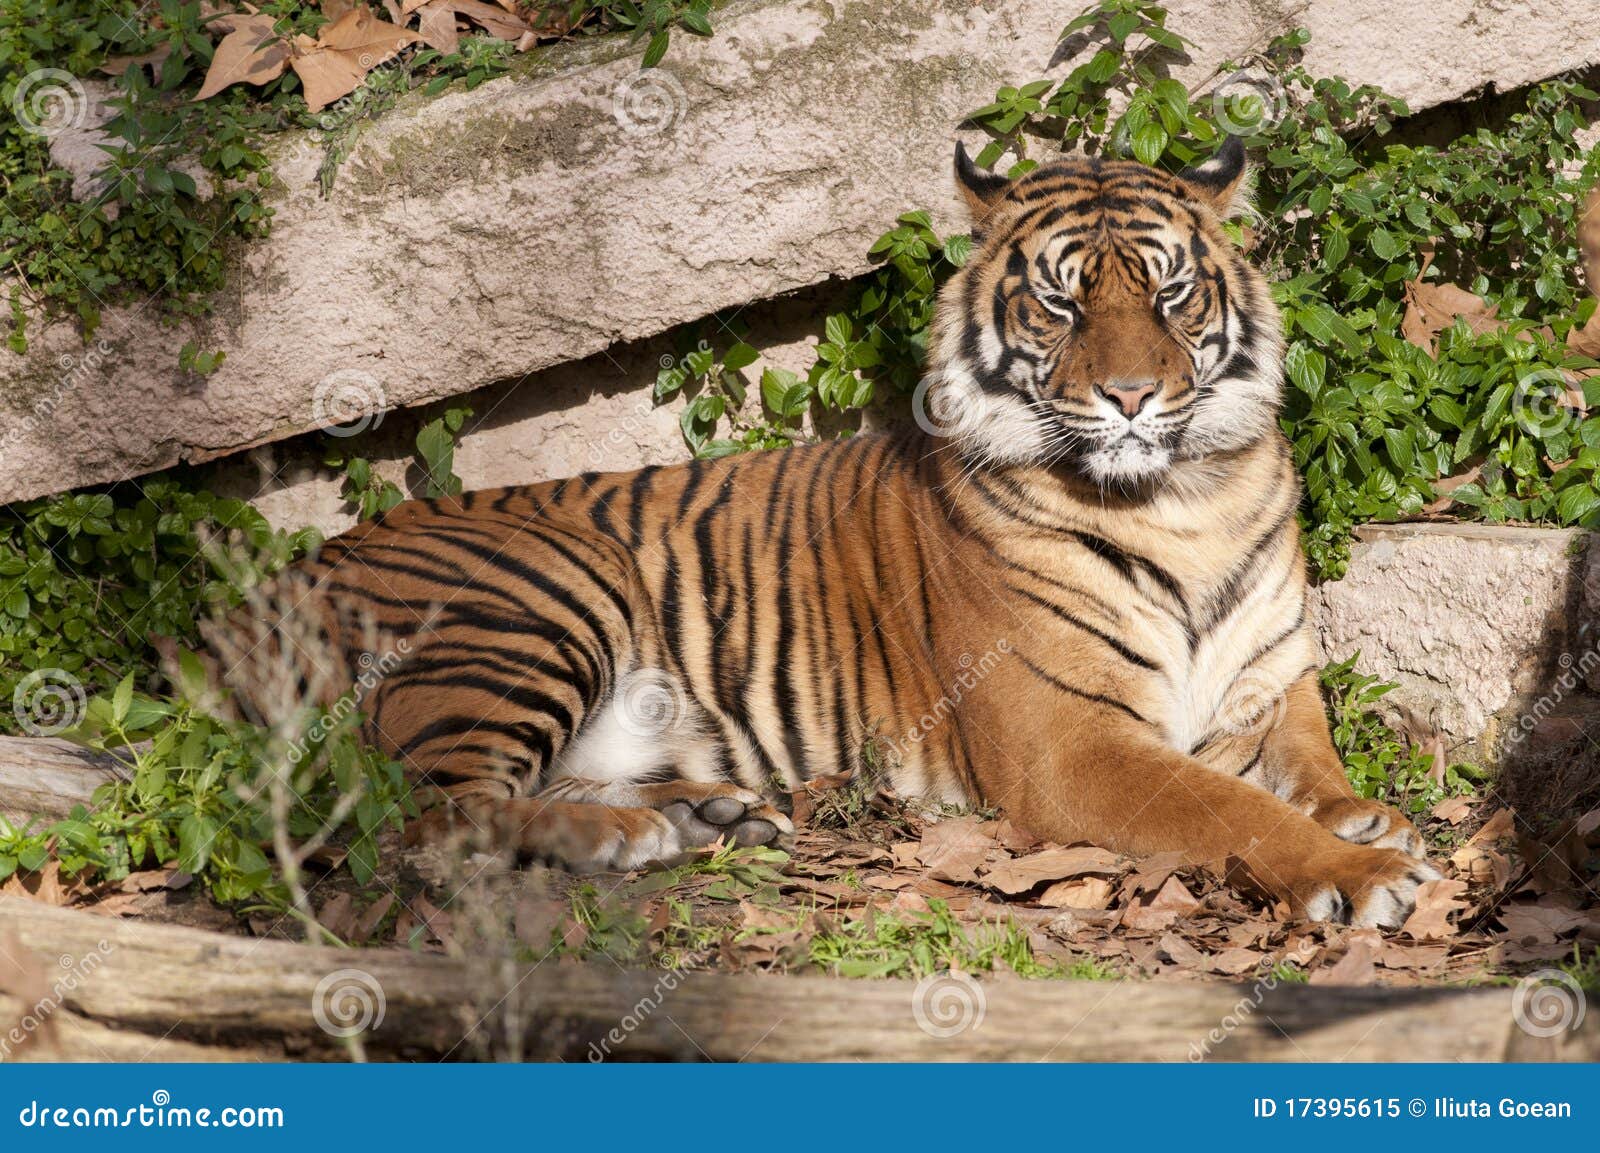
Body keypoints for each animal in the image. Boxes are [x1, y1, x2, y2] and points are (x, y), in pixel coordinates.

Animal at [204, 135, 1439, 928]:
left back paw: (705, 812)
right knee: (420, 815)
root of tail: (262, 592)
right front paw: (1354, 870)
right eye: (1061, 302)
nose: (1132, 396)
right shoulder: (1070, 745)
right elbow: (1230, 806)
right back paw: (625, 838)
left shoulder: (1273, 677)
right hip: (539, 598)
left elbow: (1308, 760)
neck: (1185, 500)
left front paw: (1369, 816)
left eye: (1172, 294)